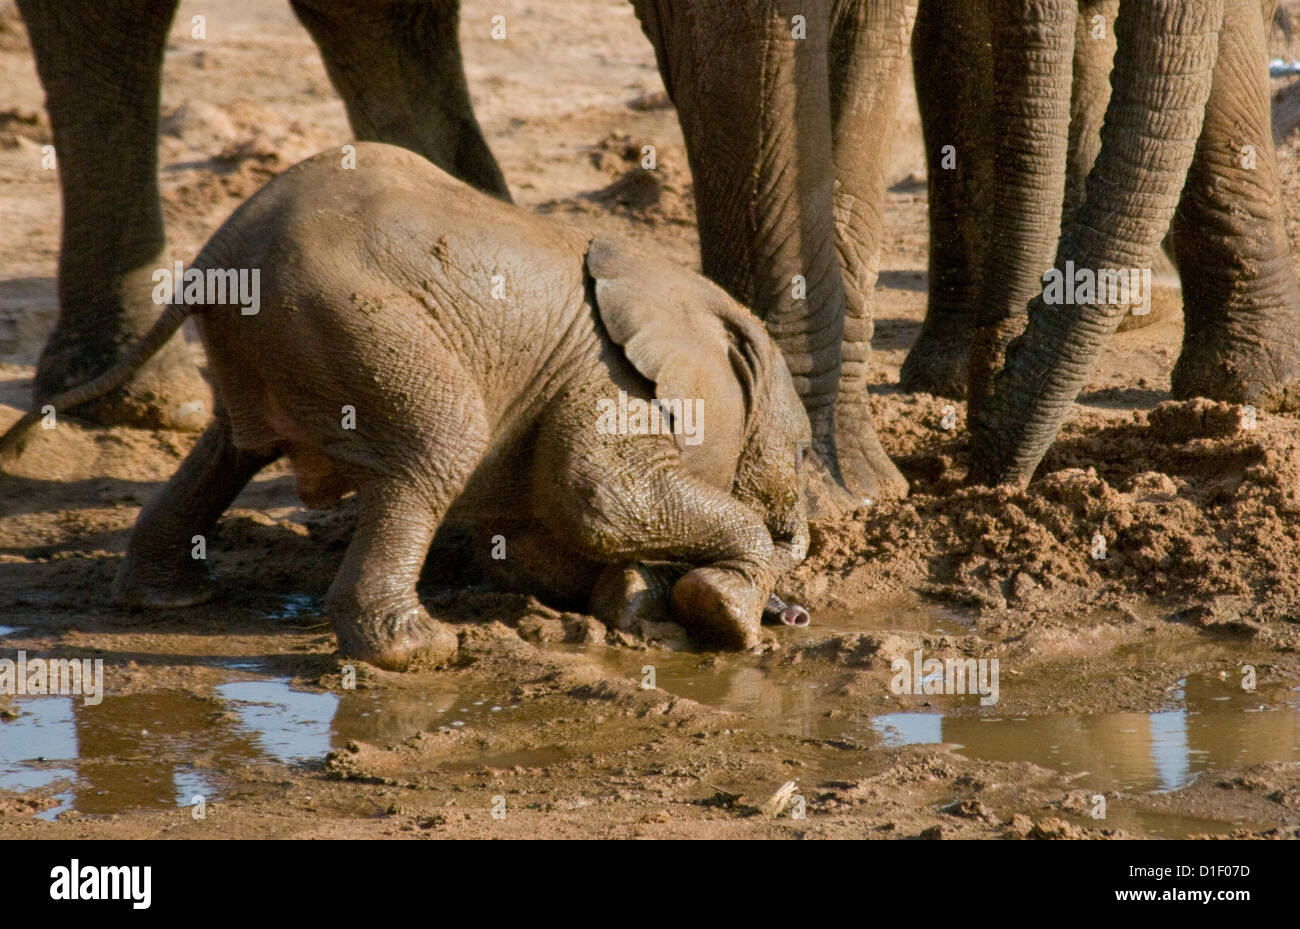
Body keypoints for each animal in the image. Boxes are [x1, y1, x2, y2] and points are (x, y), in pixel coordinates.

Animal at [0, 143, 814, 670]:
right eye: (805, 451)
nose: (798, 608)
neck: (692, 294)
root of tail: (214, 252)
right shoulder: (607, 381)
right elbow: (595, 502)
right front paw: (725, 618)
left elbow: (544, 543)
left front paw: (643, 601)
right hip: (342, 313)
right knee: (438, 442)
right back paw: (421, 651)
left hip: (279, 333)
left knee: (228, 449)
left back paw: (167, 603)